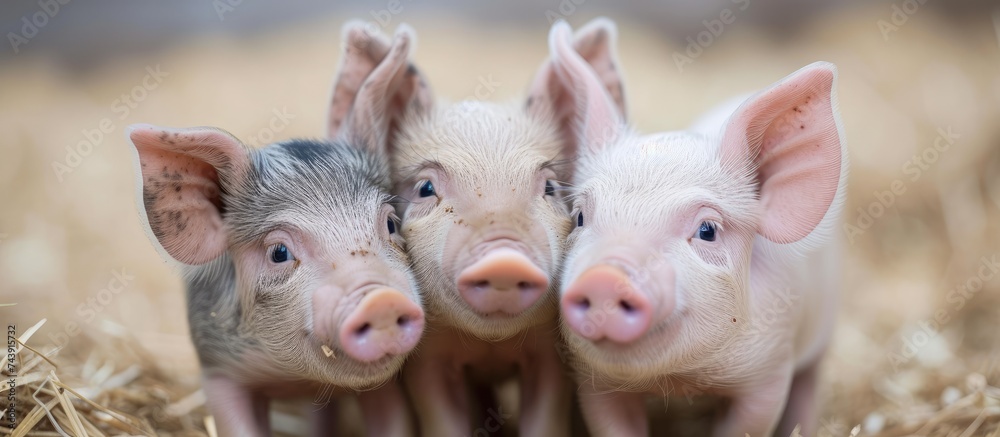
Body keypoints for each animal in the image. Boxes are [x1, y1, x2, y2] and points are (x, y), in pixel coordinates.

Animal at [324, 19, 626, 435]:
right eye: (426, 188)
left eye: (549, 187)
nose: (504, 260)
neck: (490, 345)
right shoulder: (429, 359)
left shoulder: (549, 352)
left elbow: (545, 416)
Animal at [544, 20, 847, 437]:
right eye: (580, 217)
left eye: (707, 230)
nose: (604, 278)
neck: (681, 379)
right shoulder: (595, 381)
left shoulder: (768, 373)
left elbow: (750, 421)